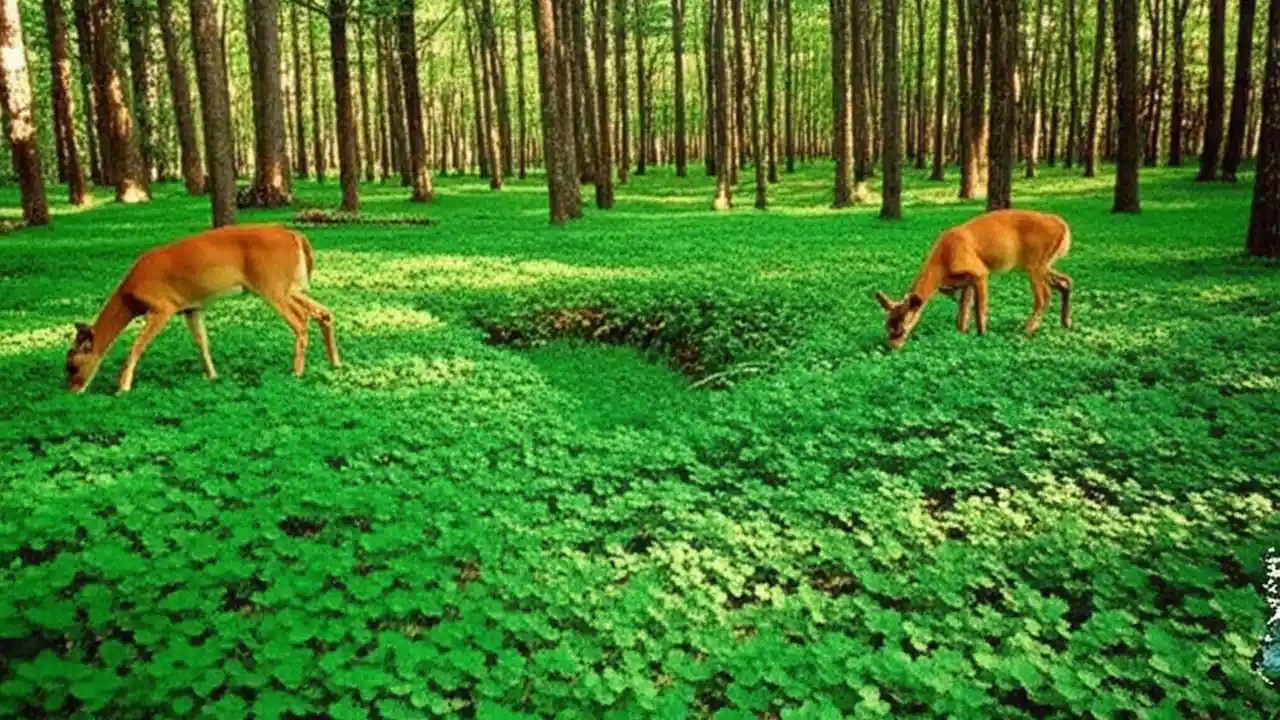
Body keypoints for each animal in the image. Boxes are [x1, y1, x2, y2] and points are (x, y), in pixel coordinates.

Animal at [65, 224, 340, 393]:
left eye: (72, 366)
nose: (72, 390)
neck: (129, 298)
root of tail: (296, 236)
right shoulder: (192, 308)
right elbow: (202, 342)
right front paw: (212, 376)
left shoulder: (163, 306)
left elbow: (137, 345)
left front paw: (123, 387)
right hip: (290, 286)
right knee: (325, 312)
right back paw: (335, 363)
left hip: (272, 285)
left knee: (301, 320)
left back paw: (297, 372)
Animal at [874, 209, 1073, 350]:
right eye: (887, 326)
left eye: (901, 329)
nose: (891, 348)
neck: (942, 263)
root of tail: (1063, 226)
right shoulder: (966, 281)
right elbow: (963, 310)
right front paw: (961, 334)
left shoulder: (980, 272)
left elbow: (980, 309)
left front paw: (981, 335)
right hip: (1043, 264)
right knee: (1067, 281)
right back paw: (1065, 323)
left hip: (1035, 264)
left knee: (1044, 296)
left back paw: (1027, 330)